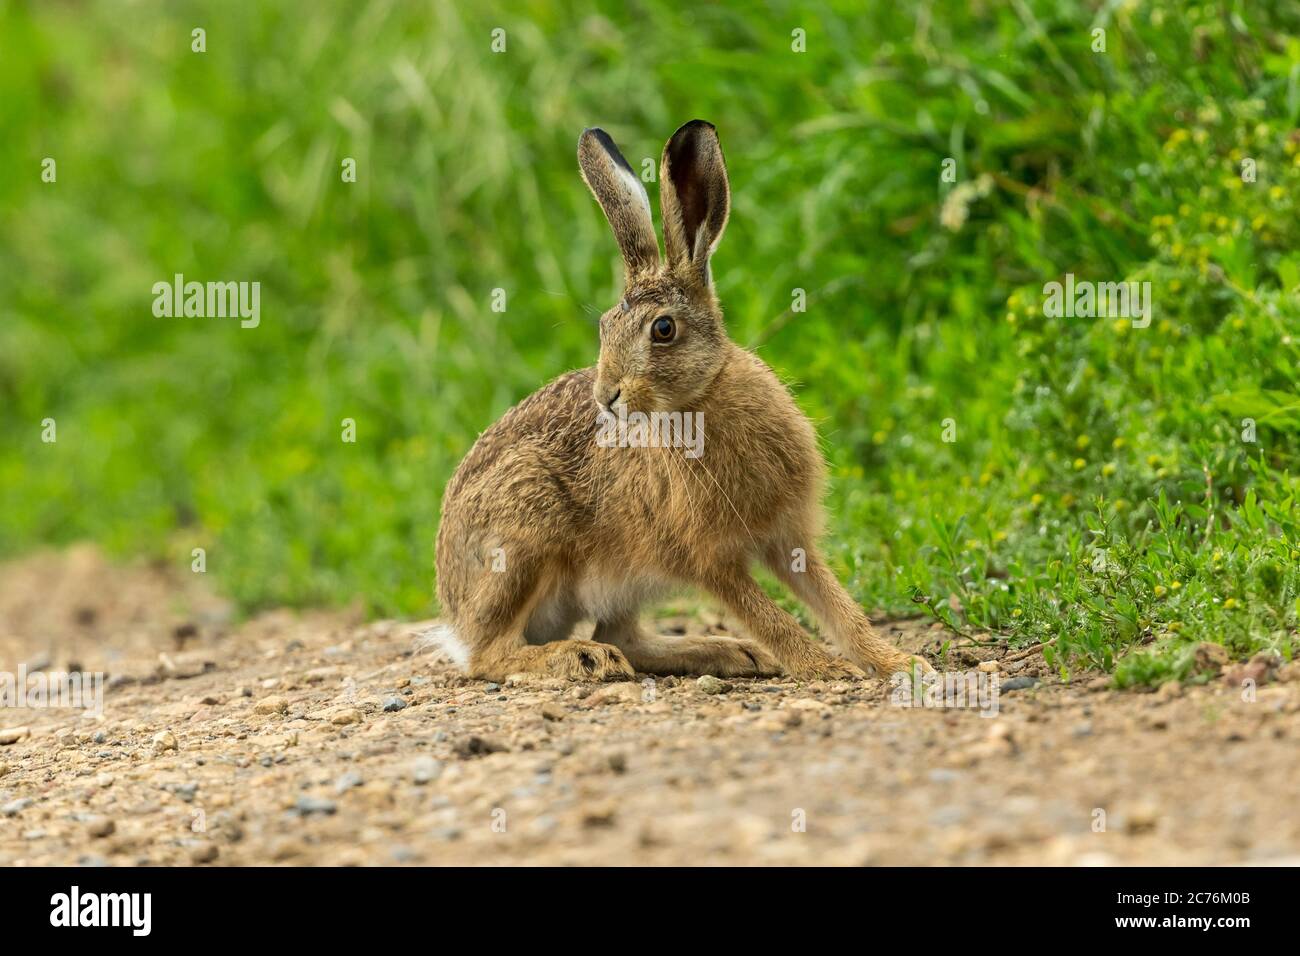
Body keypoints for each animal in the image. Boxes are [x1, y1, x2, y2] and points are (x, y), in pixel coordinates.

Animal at [432, 120, 931, 683]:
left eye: (663, 329)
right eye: (604, 329)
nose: (606, 396)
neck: (701, 399)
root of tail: (453, 603)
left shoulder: (789, 538)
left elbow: (838, 605)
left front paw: (898, 661)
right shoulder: (708, 557)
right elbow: (770, 615)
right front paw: (826, 668)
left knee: (621, 635)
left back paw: (727, 651)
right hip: (524, 535)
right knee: (490, 654)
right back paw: (581, 657)